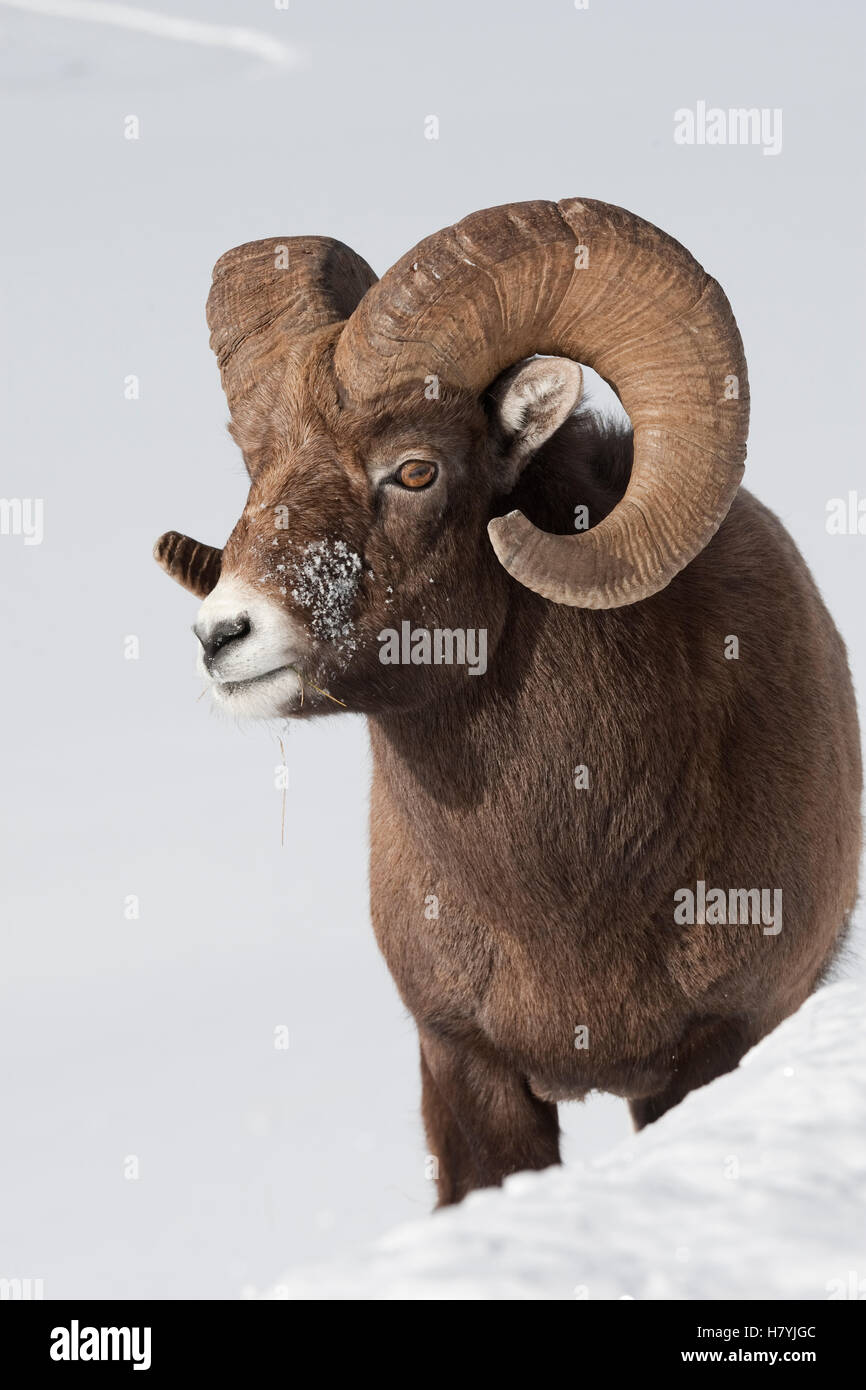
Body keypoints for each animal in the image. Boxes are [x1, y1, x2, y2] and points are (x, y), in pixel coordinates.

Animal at [155, 199, 861, 1206]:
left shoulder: (713, 1047)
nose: (224, 635)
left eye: (415, 471)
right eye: (257, 466)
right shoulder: (464, 1063)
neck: (568, 885)